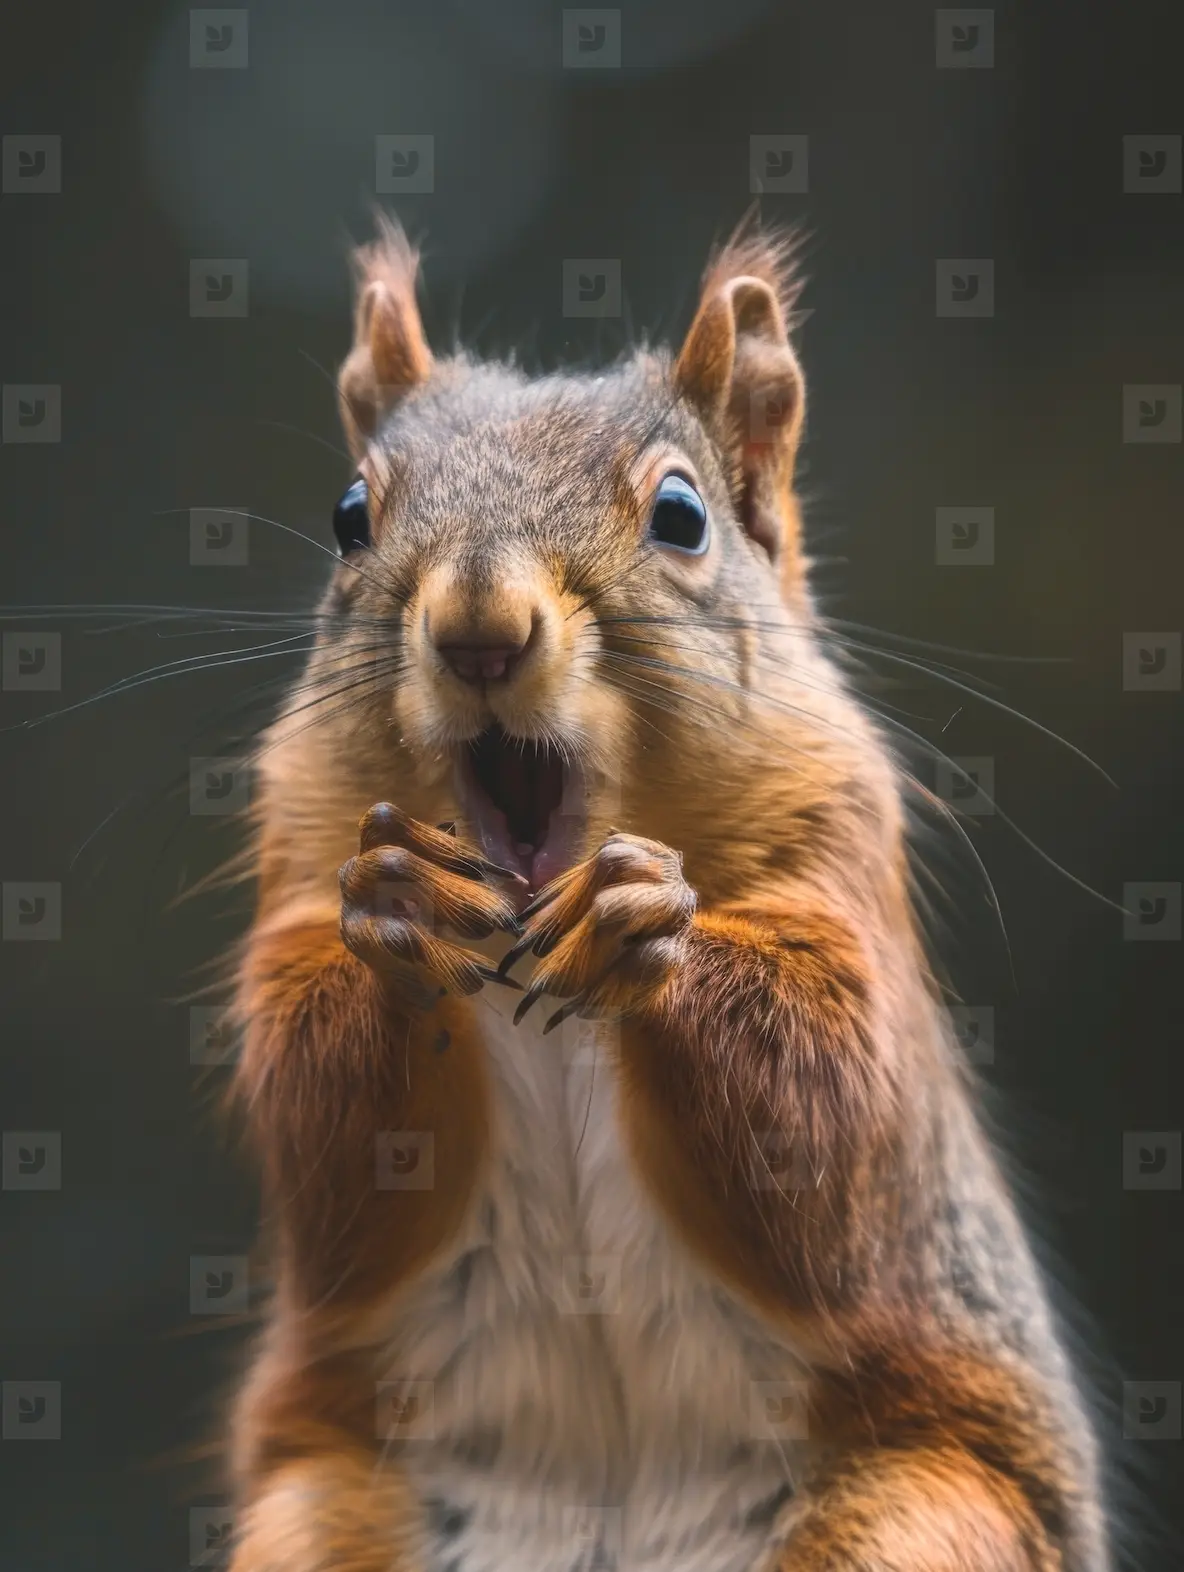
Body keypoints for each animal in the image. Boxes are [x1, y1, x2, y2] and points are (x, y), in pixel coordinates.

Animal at [227, 216, 1109, 1572]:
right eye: (348, 516)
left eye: (682, 516)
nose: (479, 629)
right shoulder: (298, 846)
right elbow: (325, 1148)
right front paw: (398, 908)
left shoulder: (841, 858)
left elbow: (829, 1114)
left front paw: (648, 922)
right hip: (316, 1515)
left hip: (924, 1511)